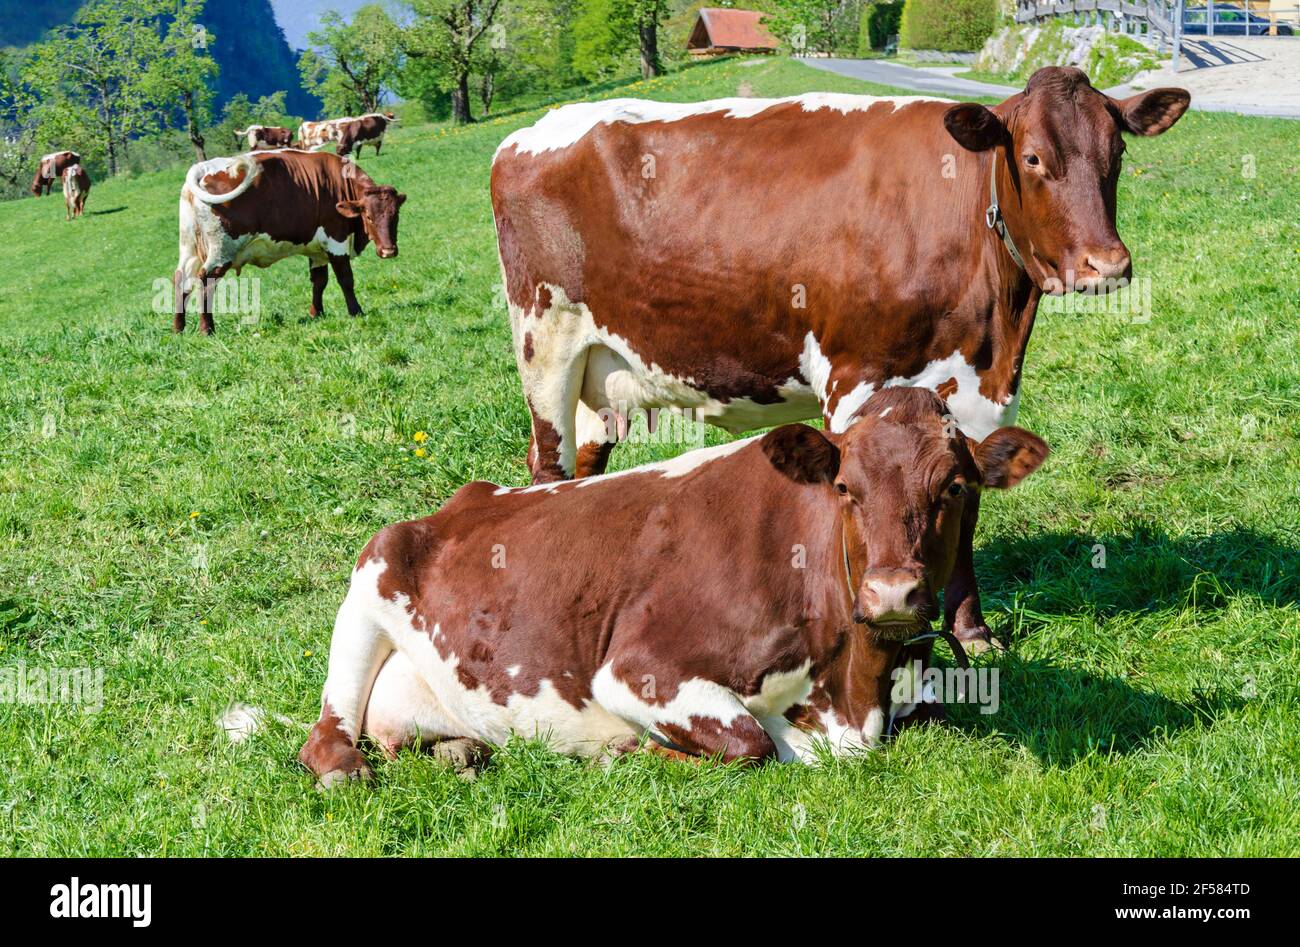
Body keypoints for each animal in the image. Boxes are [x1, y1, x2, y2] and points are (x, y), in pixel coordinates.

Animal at [174, 149, 406, 334]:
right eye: (368, 216)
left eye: (395, 215)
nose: (388, 251)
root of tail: (202, 167)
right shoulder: (336, 241)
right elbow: (346, 279)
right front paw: (356, 311)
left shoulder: (316, 251)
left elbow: (319, 281)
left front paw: (316, 313)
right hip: (221, 251)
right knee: (205, 281)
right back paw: (207, 329)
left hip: (189, 248)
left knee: (181, 280)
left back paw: (178, 328)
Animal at [299, 387, 1049, 786]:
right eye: (845, 487)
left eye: (955, 486)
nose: (891, 594)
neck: (852, 690)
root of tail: (465, 498)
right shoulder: (633, 669)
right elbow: (750, 743)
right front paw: (633, 753)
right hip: (369, 581)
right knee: (327, 736)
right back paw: (346, 763)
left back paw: (460, 750)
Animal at [489, 66, 1189, 653]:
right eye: (1034, 157)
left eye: (1117, 154)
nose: (1107, 266)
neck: (995, 333)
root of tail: (532, 130)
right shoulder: (853, 381)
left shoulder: (978, 396)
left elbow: (965, 509)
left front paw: (972, 631)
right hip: (545, 346)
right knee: (547, 465)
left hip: (604, 374)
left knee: (584, 470)